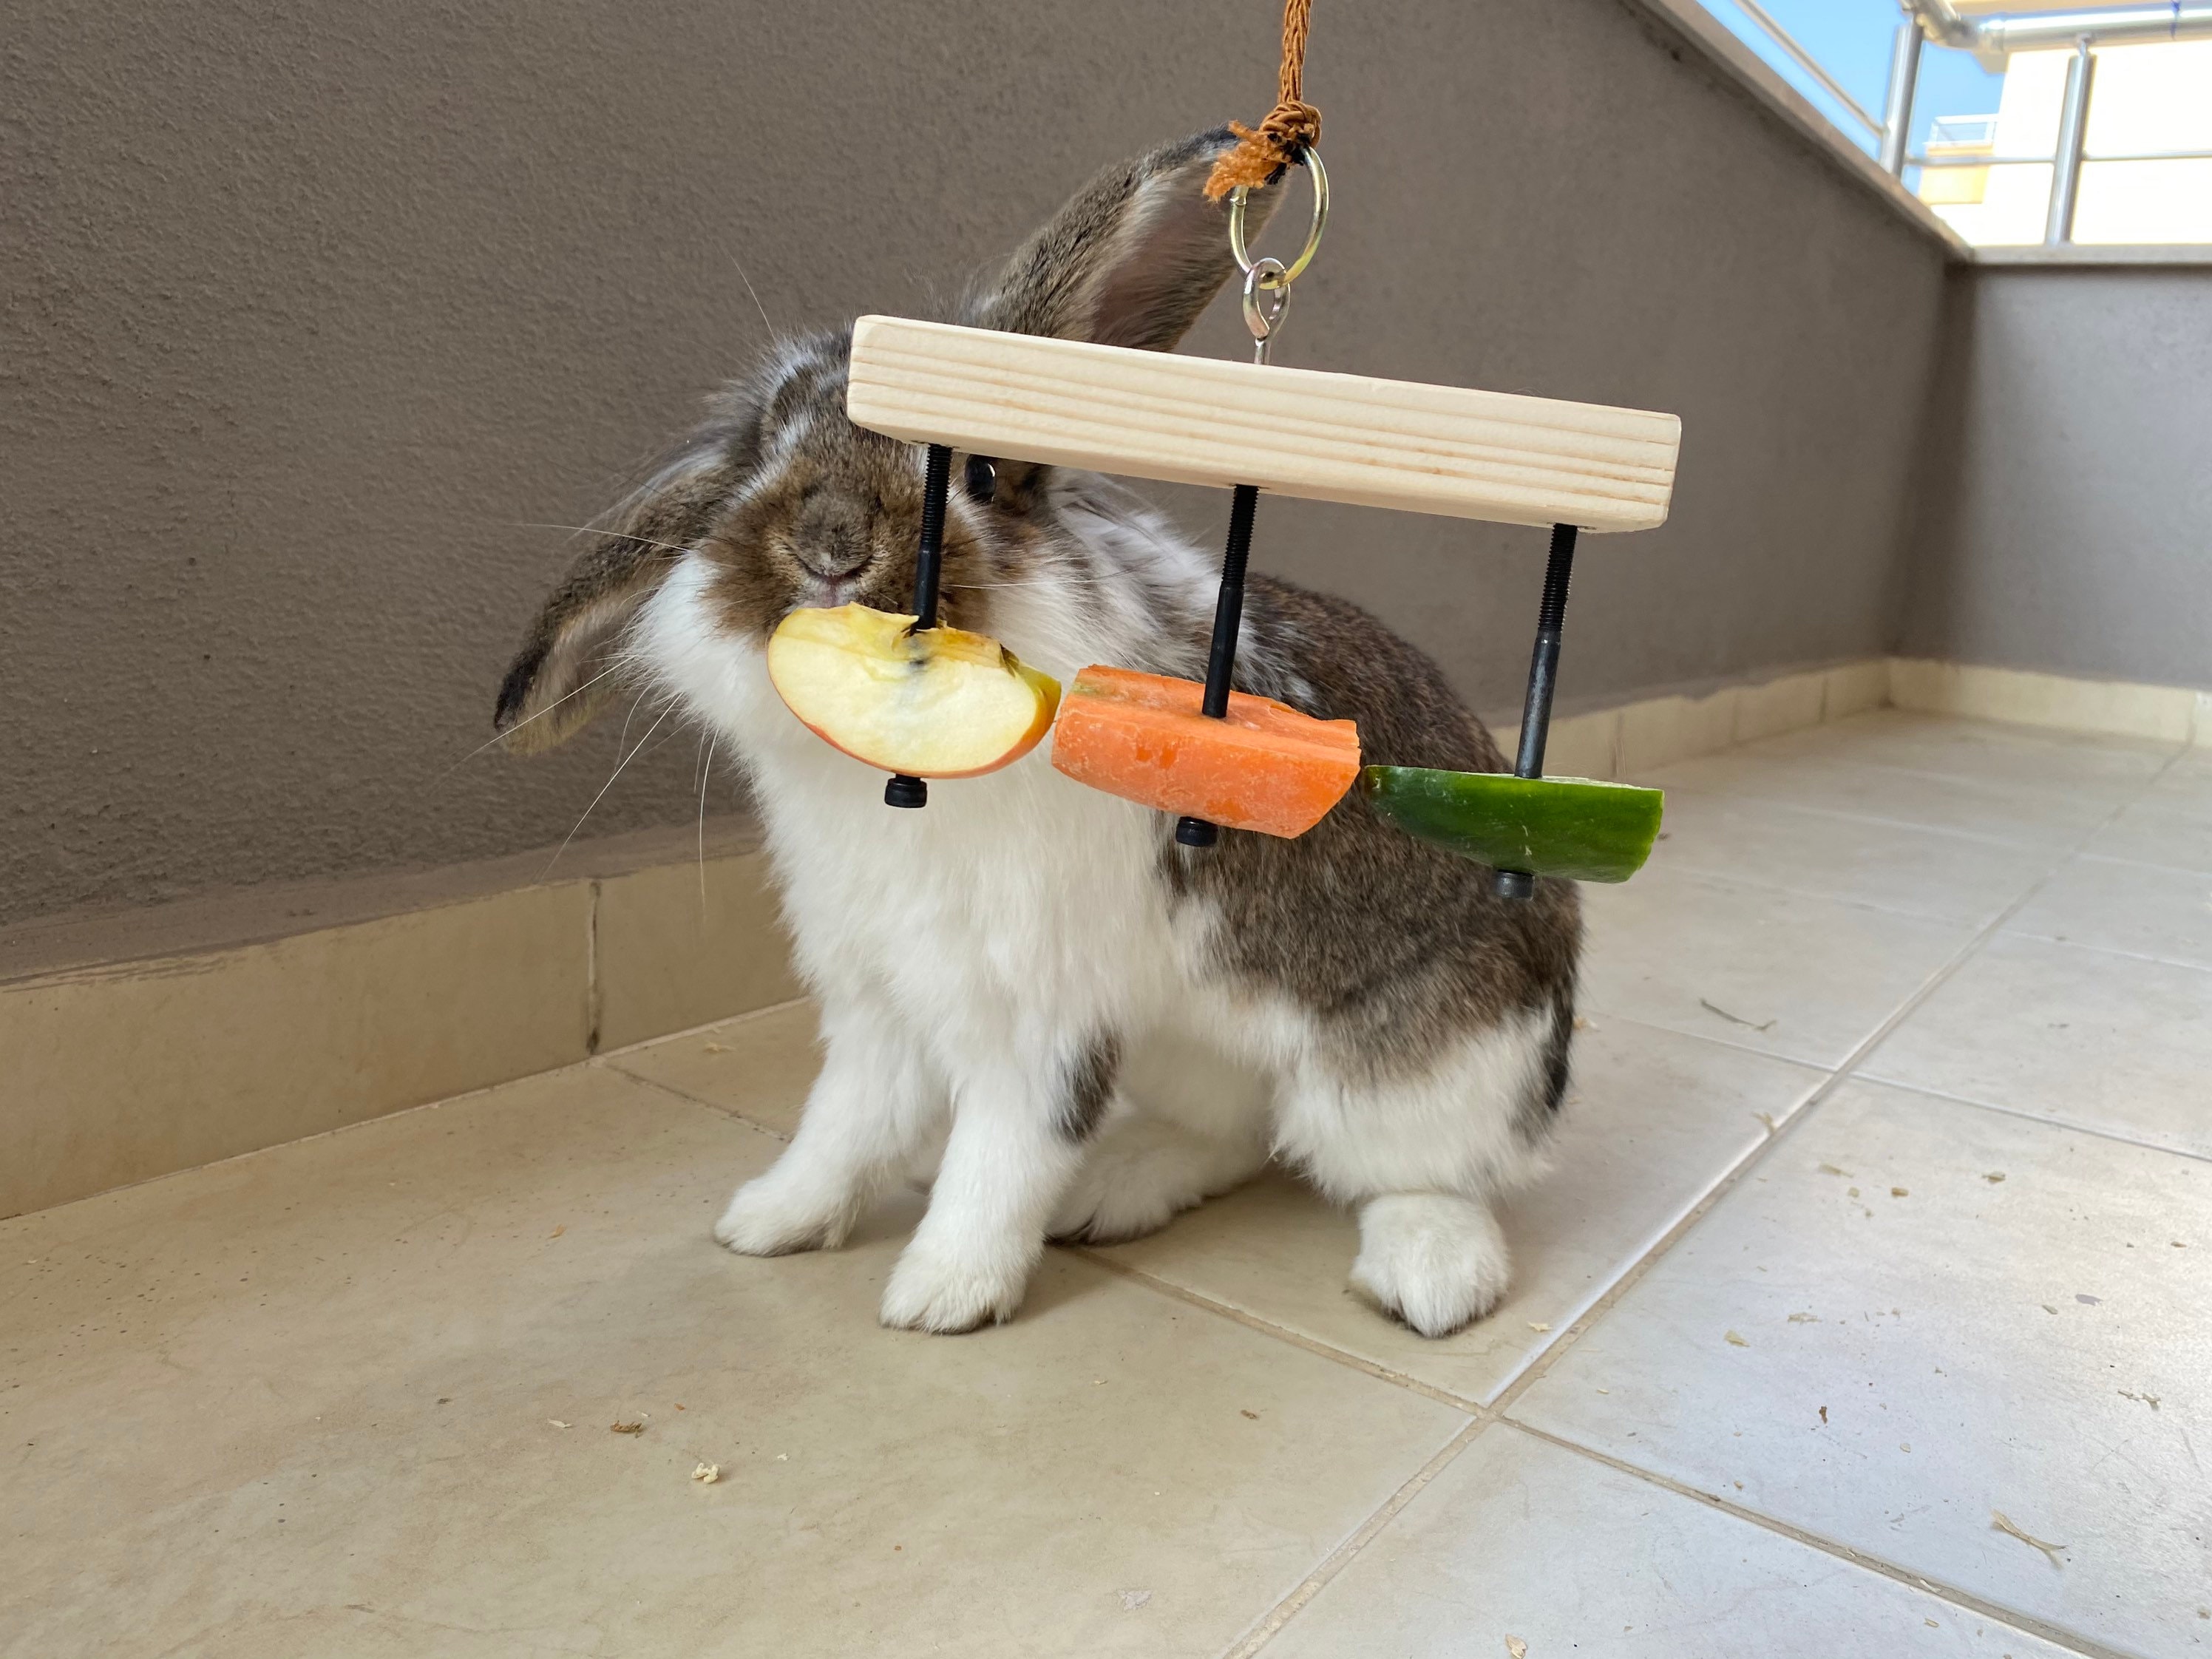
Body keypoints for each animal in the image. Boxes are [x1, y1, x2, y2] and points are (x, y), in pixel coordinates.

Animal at [494, 129, 1582, 1338]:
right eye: (762, 452)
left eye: (976, 473)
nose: (830, 544)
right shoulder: (875, 996)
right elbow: (846, 1125)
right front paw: (771, 1222)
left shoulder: (1031, 1013)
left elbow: (1001, 1153)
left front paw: (942, 1295)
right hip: (1190, 1051)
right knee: (1239, 1135)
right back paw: (1116, 1189)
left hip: (1414, 1071)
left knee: (1417, 1172)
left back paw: (1431, 1276)